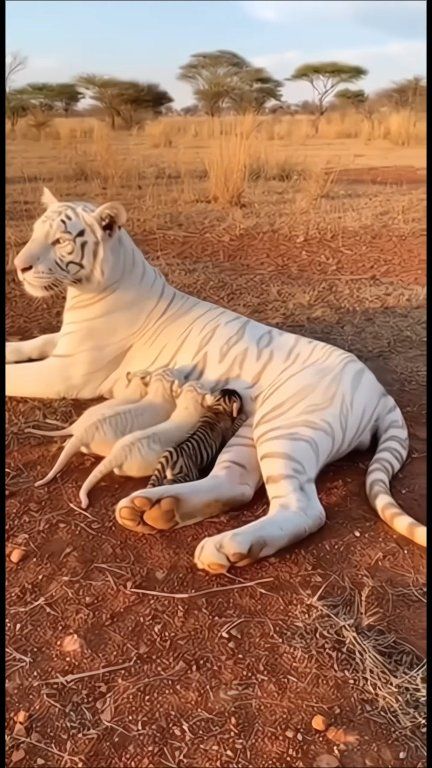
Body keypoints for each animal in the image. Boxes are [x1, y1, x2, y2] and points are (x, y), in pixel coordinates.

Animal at [6, 188, 426, 573]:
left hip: (286, 428)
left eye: (60, 241)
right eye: (35, 233)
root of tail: (379, 391)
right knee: (234, 483)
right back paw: (156, 508)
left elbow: (15, 373)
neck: (90, 289)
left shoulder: (68, 369)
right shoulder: (63, 344)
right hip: (253, 431)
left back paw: (226, 546)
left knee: (304, 509)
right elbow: (31, 343)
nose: (18, 266)